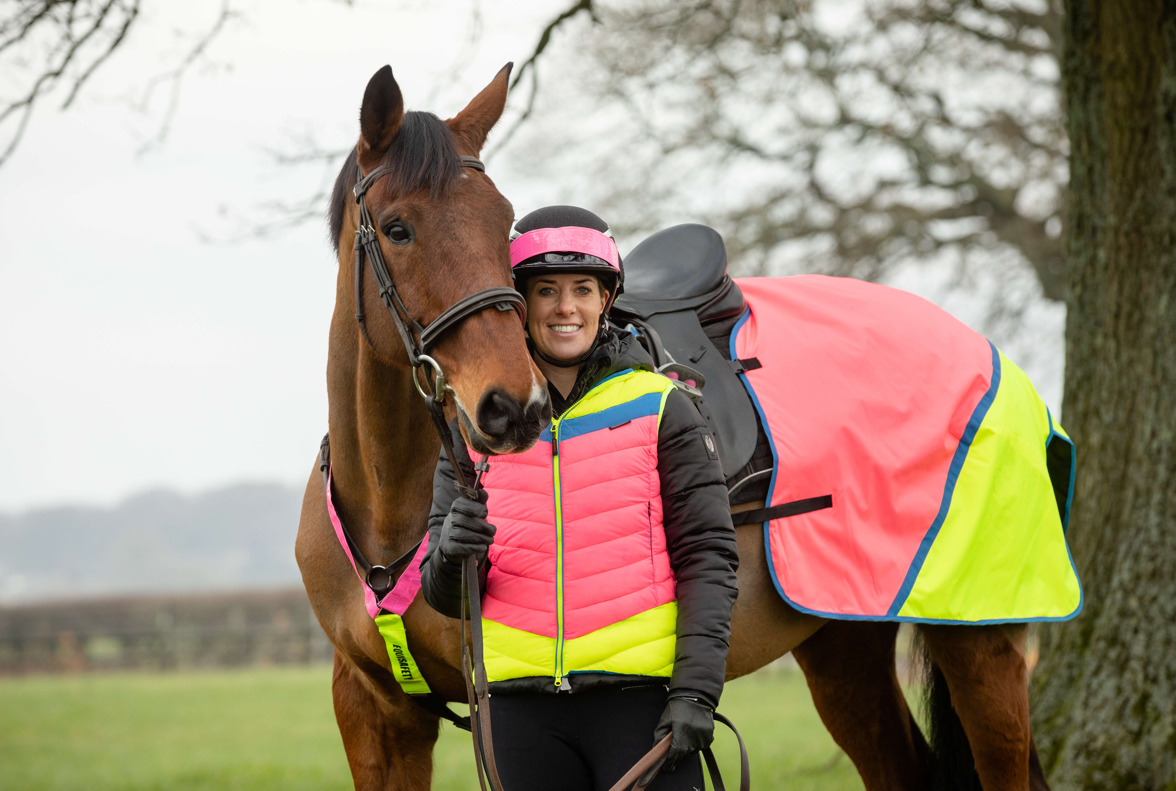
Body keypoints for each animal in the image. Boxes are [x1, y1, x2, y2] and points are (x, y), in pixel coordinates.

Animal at [296, 64, 1052, 791]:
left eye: (504, 224)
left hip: (976, 637)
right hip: (842, 643)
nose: (514, 406)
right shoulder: (375, 711)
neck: (385, 504)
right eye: (399, 228)